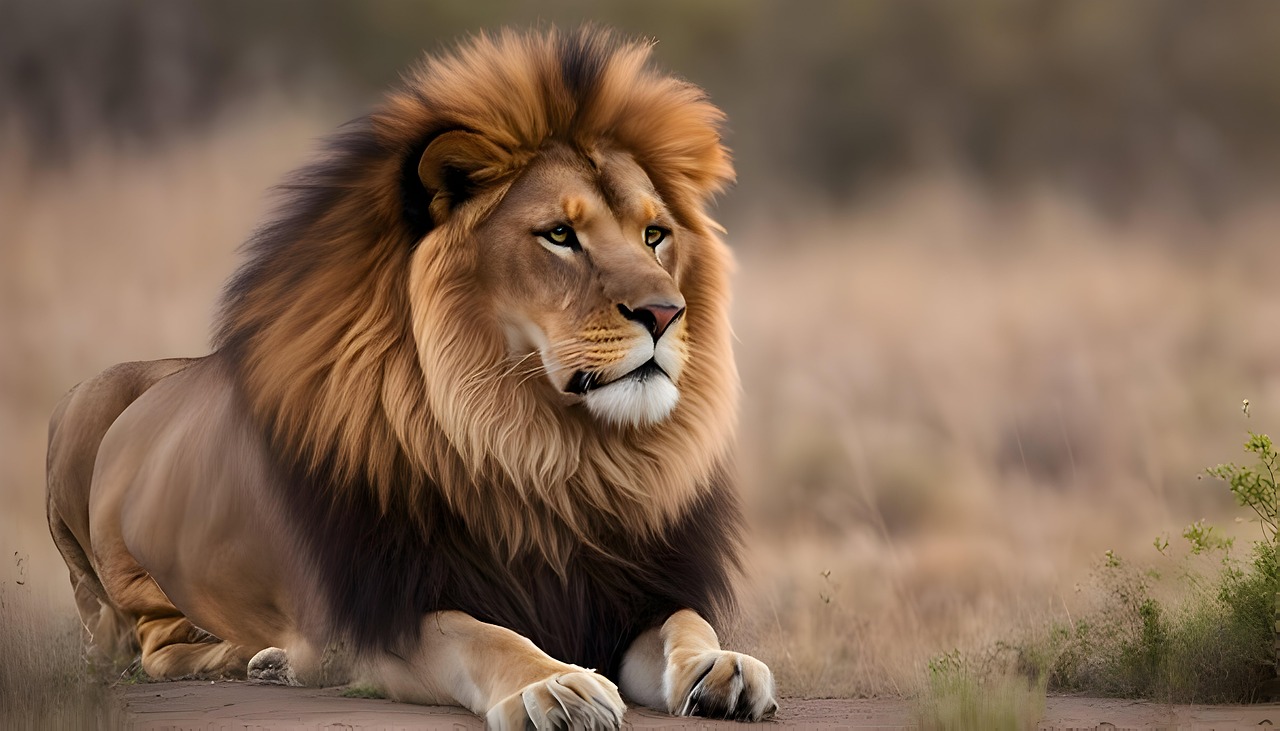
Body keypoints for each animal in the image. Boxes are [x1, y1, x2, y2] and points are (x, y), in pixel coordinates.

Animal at [45, 27, 776, 728]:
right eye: (560, 235)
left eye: (655, 234)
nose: (666, 312)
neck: (548, 455)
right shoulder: (388, 617)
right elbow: (482, 636)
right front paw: (552, 685)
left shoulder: (632, 594)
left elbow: (686, 622)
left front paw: (720, 666)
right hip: (90, 436)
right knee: (156, 647)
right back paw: (267, 659)